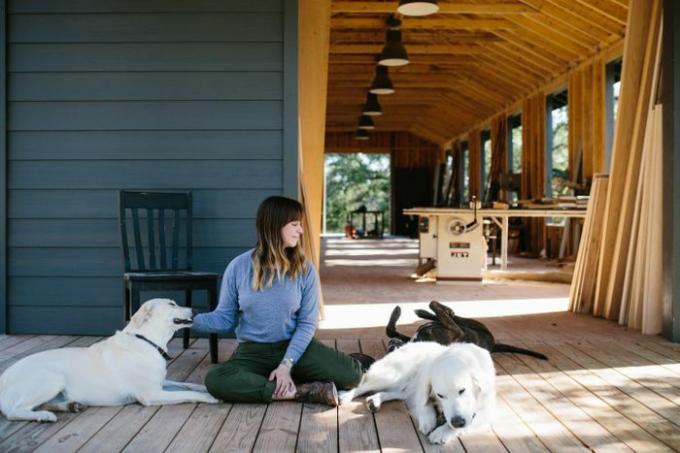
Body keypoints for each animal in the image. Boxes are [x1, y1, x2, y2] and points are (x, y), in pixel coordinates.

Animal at [0, 296, 218, 420]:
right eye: (172, 304)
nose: (196, 310)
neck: (147, 341)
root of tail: (3, 377)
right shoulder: (151, 394)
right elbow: (188, 394)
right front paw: (210, 396)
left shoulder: (160, 383)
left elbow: (187, 385)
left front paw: (204, 387)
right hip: (52, 378)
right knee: (14, 412)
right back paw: (44, 416)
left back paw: (71, 405)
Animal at [338, 340, 494, 444]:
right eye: (440, 395)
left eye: (462, 390)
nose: (457, 422)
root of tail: (407, 344)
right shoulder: (423, 389)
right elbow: (424, 404)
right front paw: (428, 421)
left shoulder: (487, 410)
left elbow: (471, 419)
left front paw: (443, 431)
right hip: (393, 375)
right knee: (363, 383)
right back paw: (345, 396)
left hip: (402, 385)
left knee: (390, 392)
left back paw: (374, 401)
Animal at [388, 300, 548, 360]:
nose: (391, 344)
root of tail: (493, 345)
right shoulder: (457, 331)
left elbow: (389, 330)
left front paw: (396, 311)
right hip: (471, 325)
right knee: (451, 316)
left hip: (467, 323)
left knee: (447, 316)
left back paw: (425, 312)